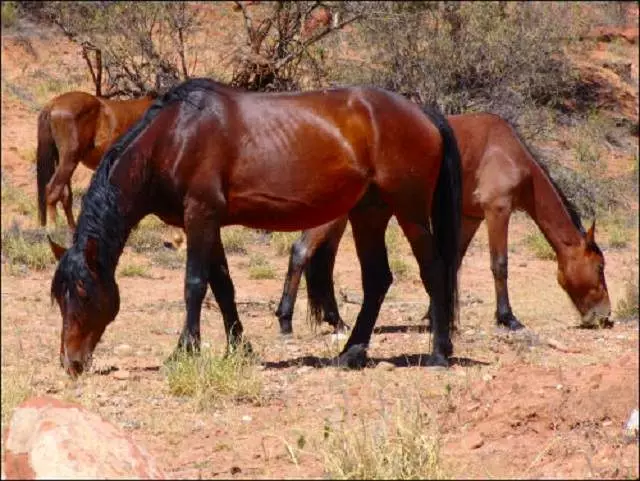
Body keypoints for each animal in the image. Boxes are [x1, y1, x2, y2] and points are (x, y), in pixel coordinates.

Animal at [274, 111, 608, 334]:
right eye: (600, 267)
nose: (605, 315)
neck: (507, 151)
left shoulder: (471, 217)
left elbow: (453, 262)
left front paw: (436, 315)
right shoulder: (497, 211)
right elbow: (499, 264)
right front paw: (508, 318)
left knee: (323, 261)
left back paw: (336, 320)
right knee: (301, 253)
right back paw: (286, 320)